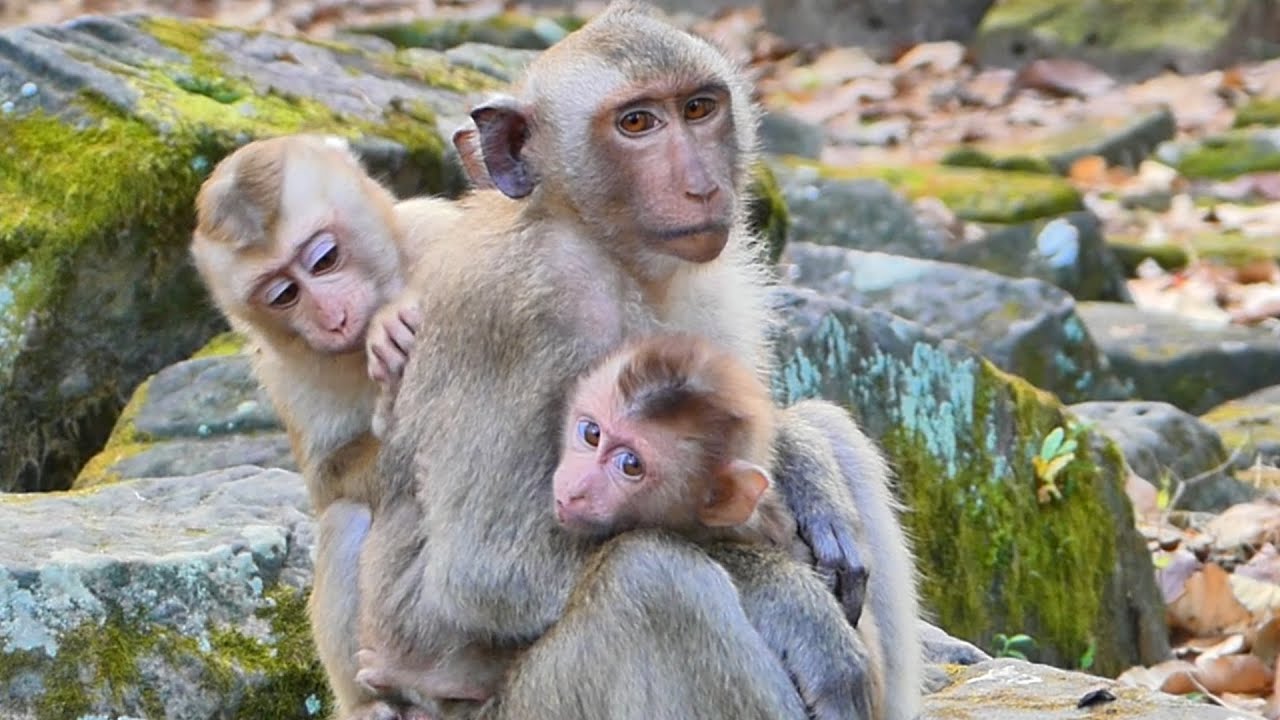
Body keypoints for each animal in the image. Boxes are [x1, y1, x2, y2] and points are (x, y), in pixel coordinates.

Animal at [188, 133, 468, 719]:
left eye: (324, 259)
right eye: (283, 294)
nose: (334, 317)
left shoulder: (441, 231)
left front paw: (393, 323)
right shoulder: (281, 373)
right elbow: (324, 484)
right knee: (345, 519)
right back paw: (372, 702)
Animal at [352, 3, 922, 719]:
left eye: (698, 108)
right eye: (637, 124)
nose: (701, 185)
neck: (611, 251)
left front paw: (804, 468)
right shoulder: (523, 309)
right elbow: (490, 574)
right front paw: (790, 601)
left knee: (833, 431)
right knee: (654, 578)